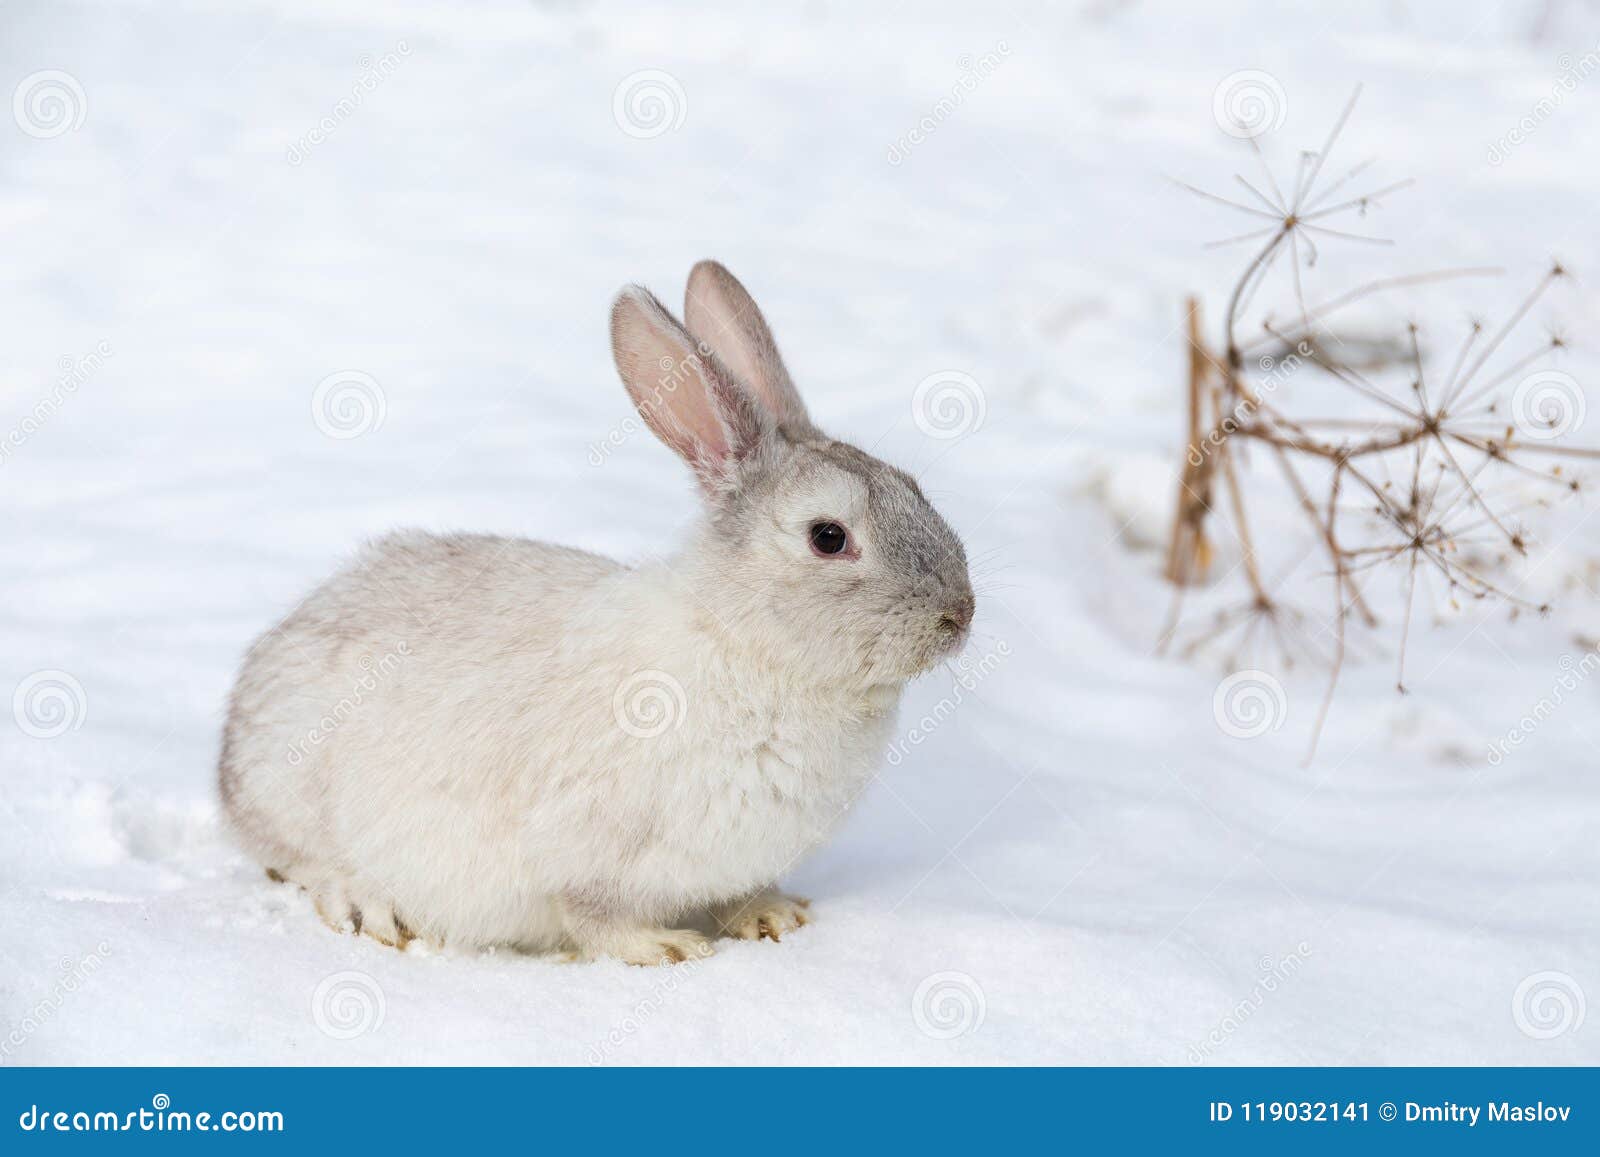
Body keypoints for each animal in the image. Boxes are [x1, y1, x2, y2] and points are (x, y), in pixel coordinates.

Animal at [218, 260, 975, 964]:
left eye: (913, 488)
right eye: (828, 537)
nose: (960, 615)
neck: (744, 641)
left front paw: (774, 917)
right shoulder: (588, 851)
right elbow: (593, 916)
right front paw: (667, 948)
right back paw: (367, 906)